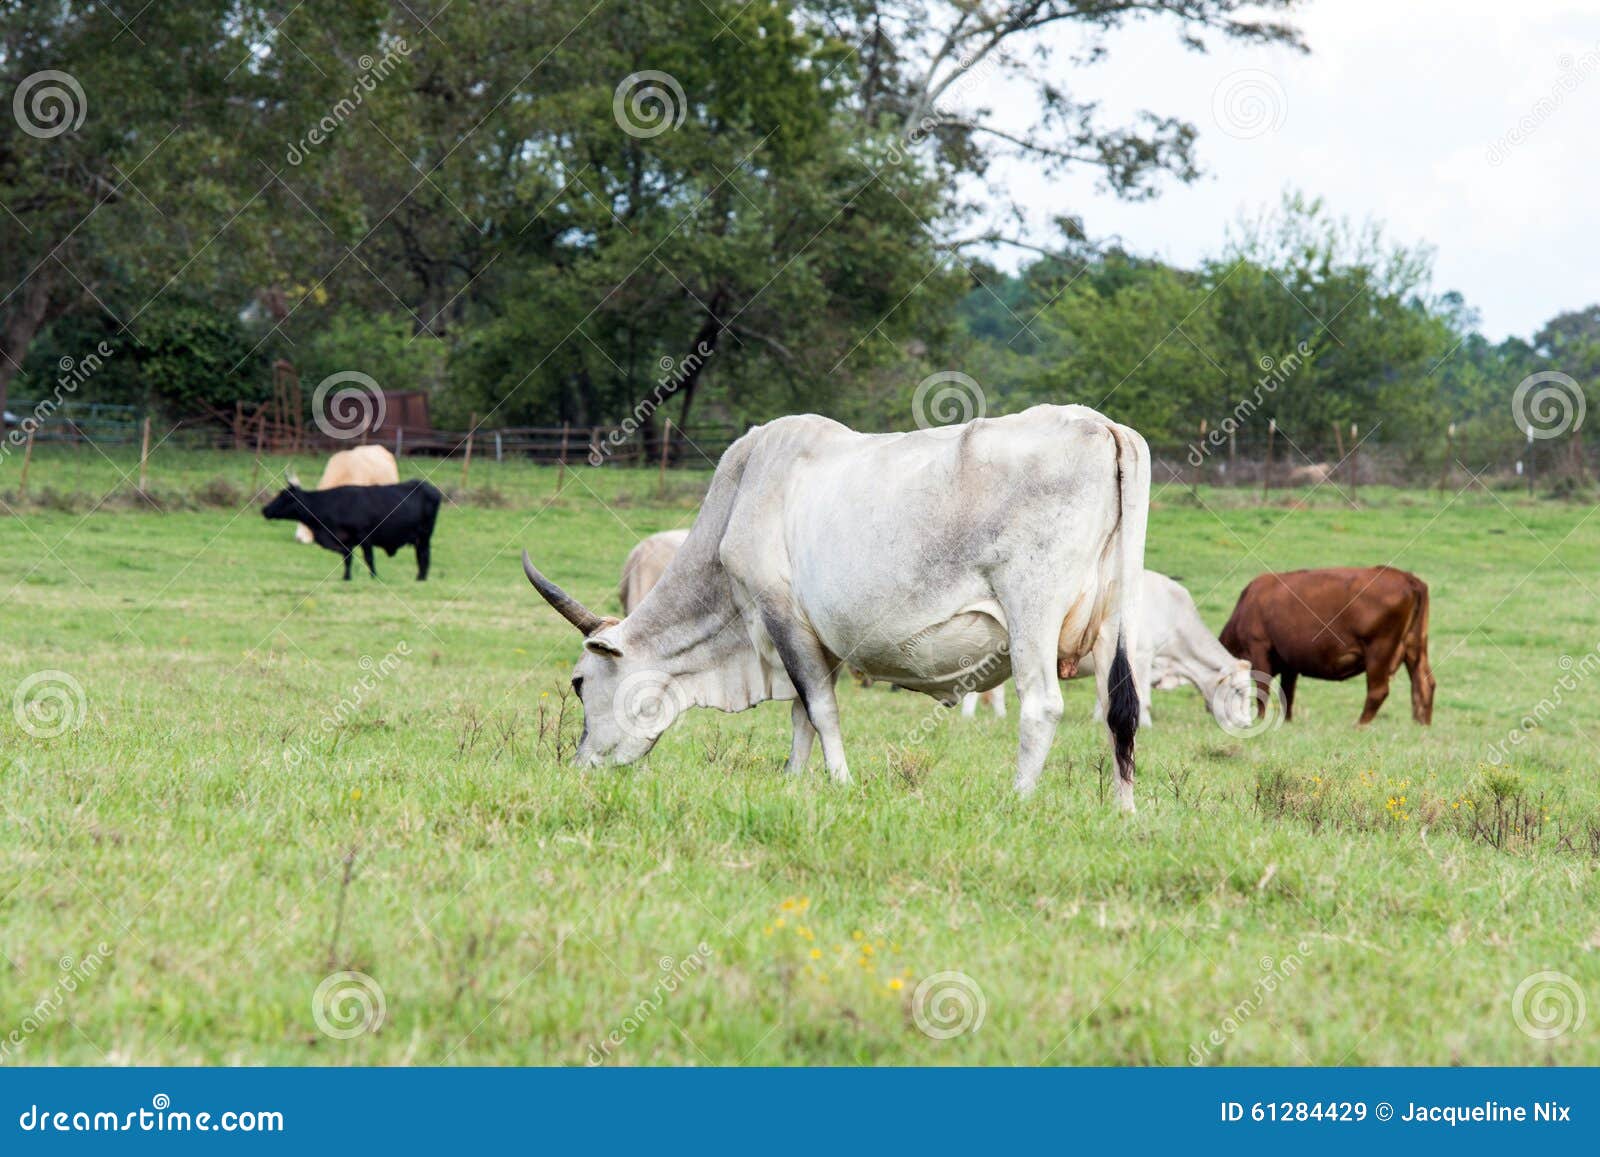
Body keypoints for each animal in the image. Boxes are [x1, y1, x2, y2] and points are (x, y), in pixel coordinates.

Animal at [263, 480, 441, 581]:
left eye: (284, 497)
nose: (264, 509)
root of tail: (430, 487)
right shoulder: (345, 540)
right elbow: (347, 558)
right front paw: (346, 577)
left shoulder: (364, 536)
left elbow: (369, 558)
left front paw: (374, 577)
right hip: (420, 538)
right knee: (421, 556)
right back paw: (420, 577)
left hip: (425, 535)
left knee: (424, 555)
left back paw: (421, 578)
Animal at [521, 406, 1151, 809]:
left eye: (580, 681)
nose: (580, 765)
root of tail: (1101, 425)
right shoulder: (814, 639)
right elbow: (802, 713)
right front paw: (793, 781)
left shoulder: (782, 614)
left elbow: (819, 709)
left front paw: (840, 783)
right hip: (1114, 618)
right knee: (1118, 711)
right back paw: (1123, 813)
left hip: (1031, 613)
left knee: (1041, 706)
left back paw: (1016, 803)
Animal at [1218, 566, 1435, 725]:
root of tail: (1406, 577)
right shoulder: (1290, 662)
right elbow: (1287, 692)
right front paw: (1287, 722)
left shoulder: (1258, 647)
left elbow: (1263, 688)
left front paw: (1260, 719)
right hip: (1415, 646)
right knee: (1424, 683)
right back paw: (1420, 725)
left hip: (1379, 650)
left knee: (1378, 690)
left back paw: (1359, 725)